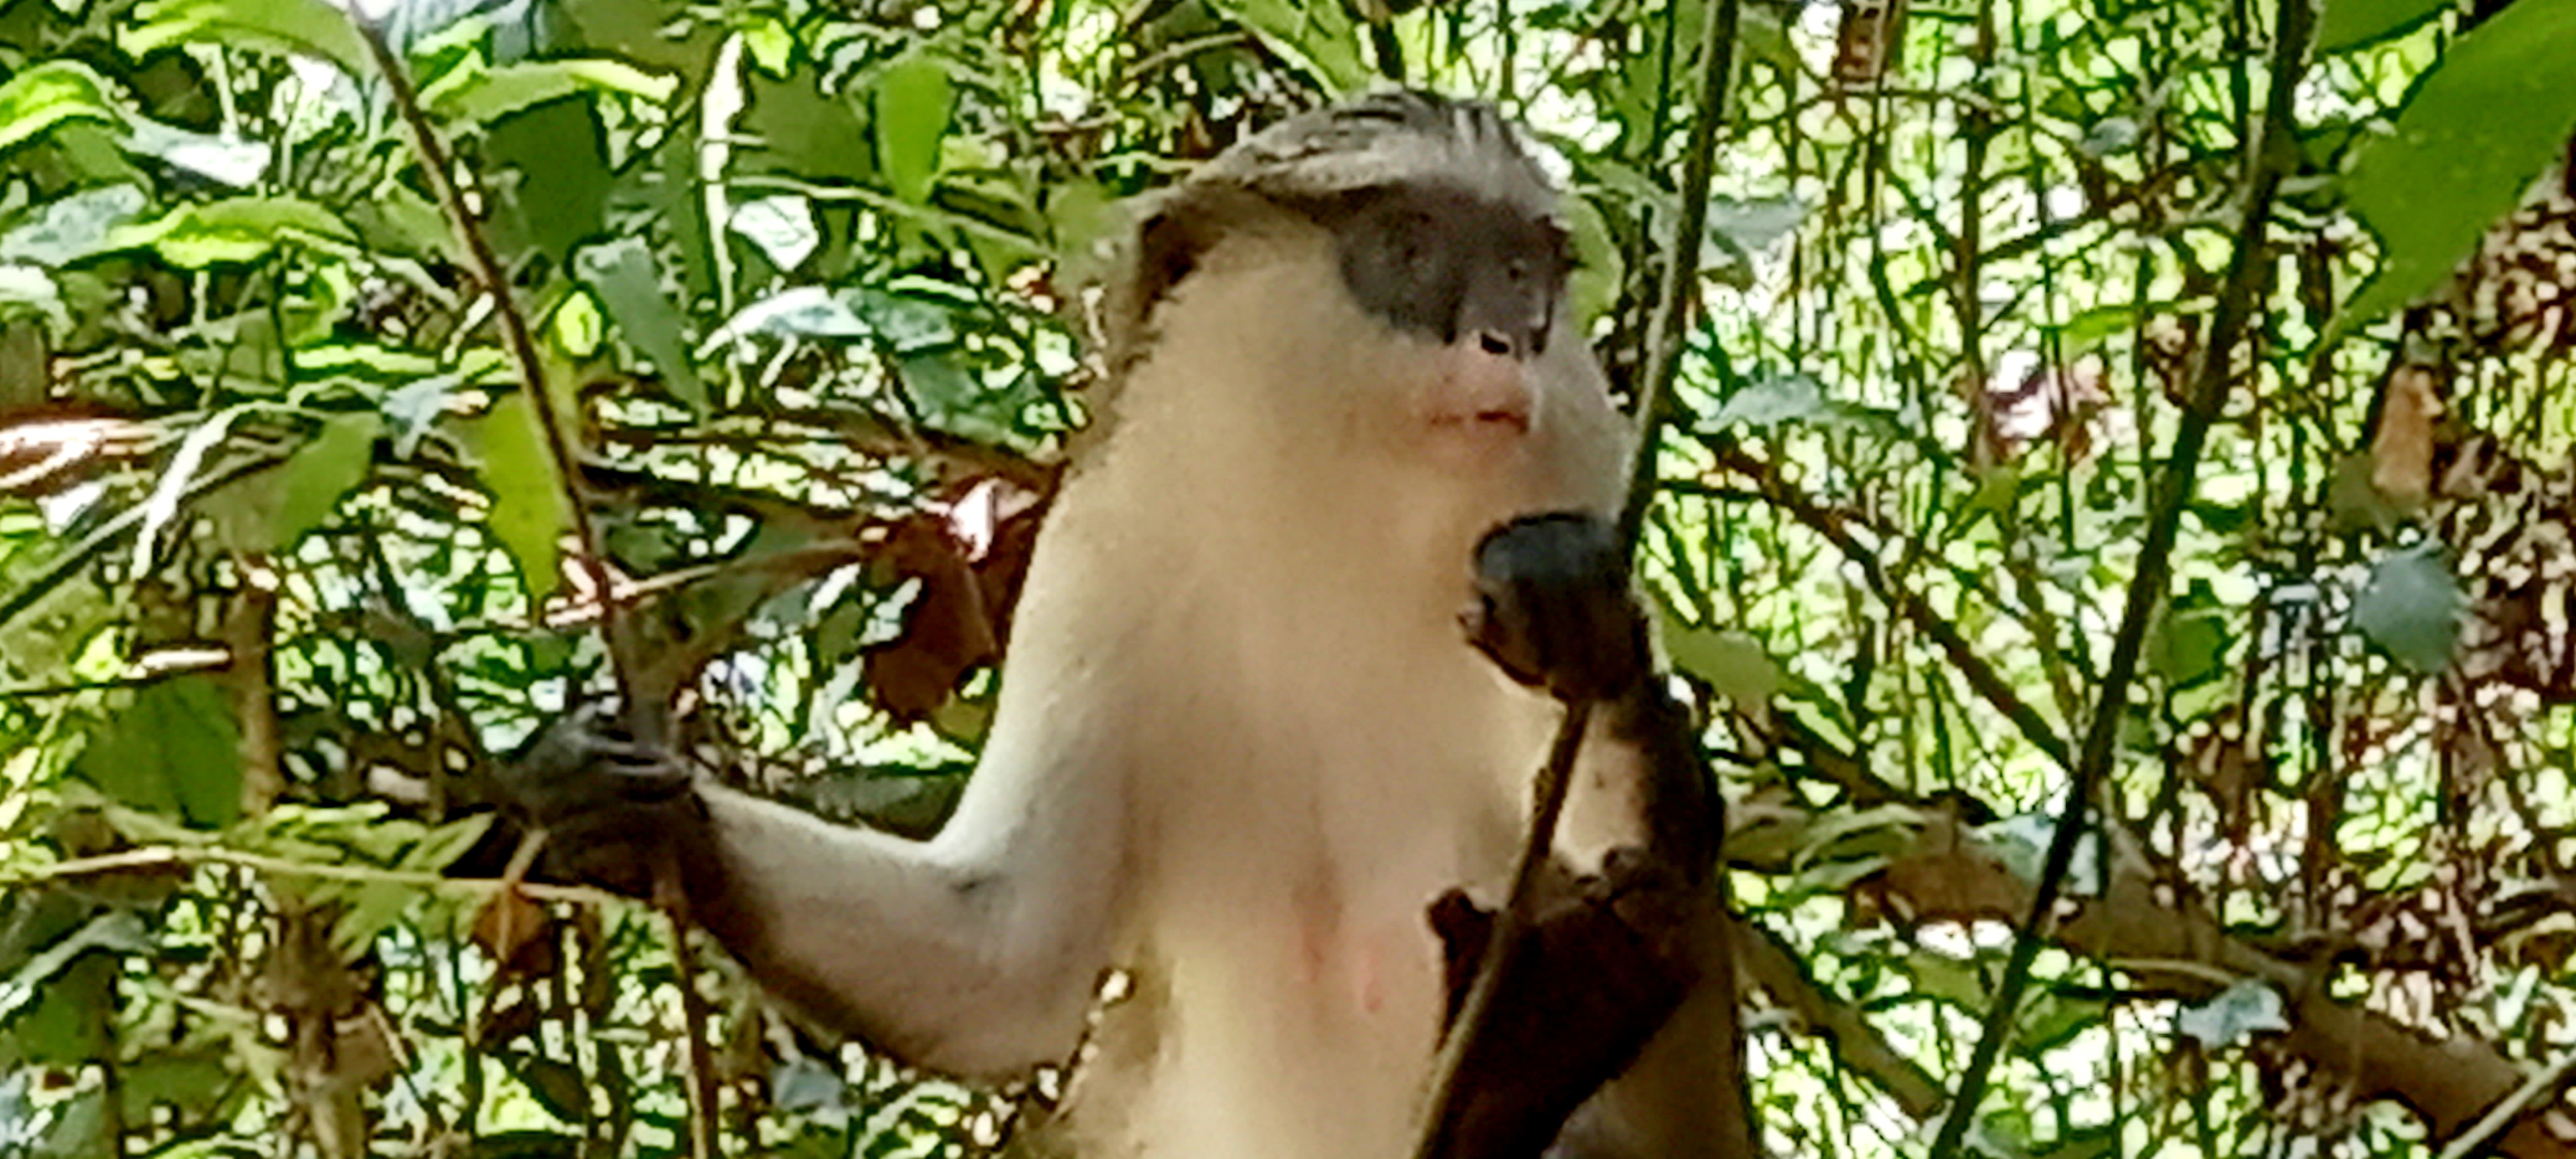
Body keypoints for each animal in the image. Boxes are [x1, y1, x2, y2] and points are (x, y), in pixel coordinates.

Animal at [508, 91, 1747, 1159]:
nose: (1506, 338)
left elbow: (1650, 870)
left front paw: (1578, 627)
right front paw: (638, 816)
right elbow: (1003, 954)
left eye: (1520, 271)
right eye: (1411, 248)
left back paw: (1523, 1062)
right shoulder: (1105, 551)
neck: (1337, 515)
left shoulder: (1574, 472)